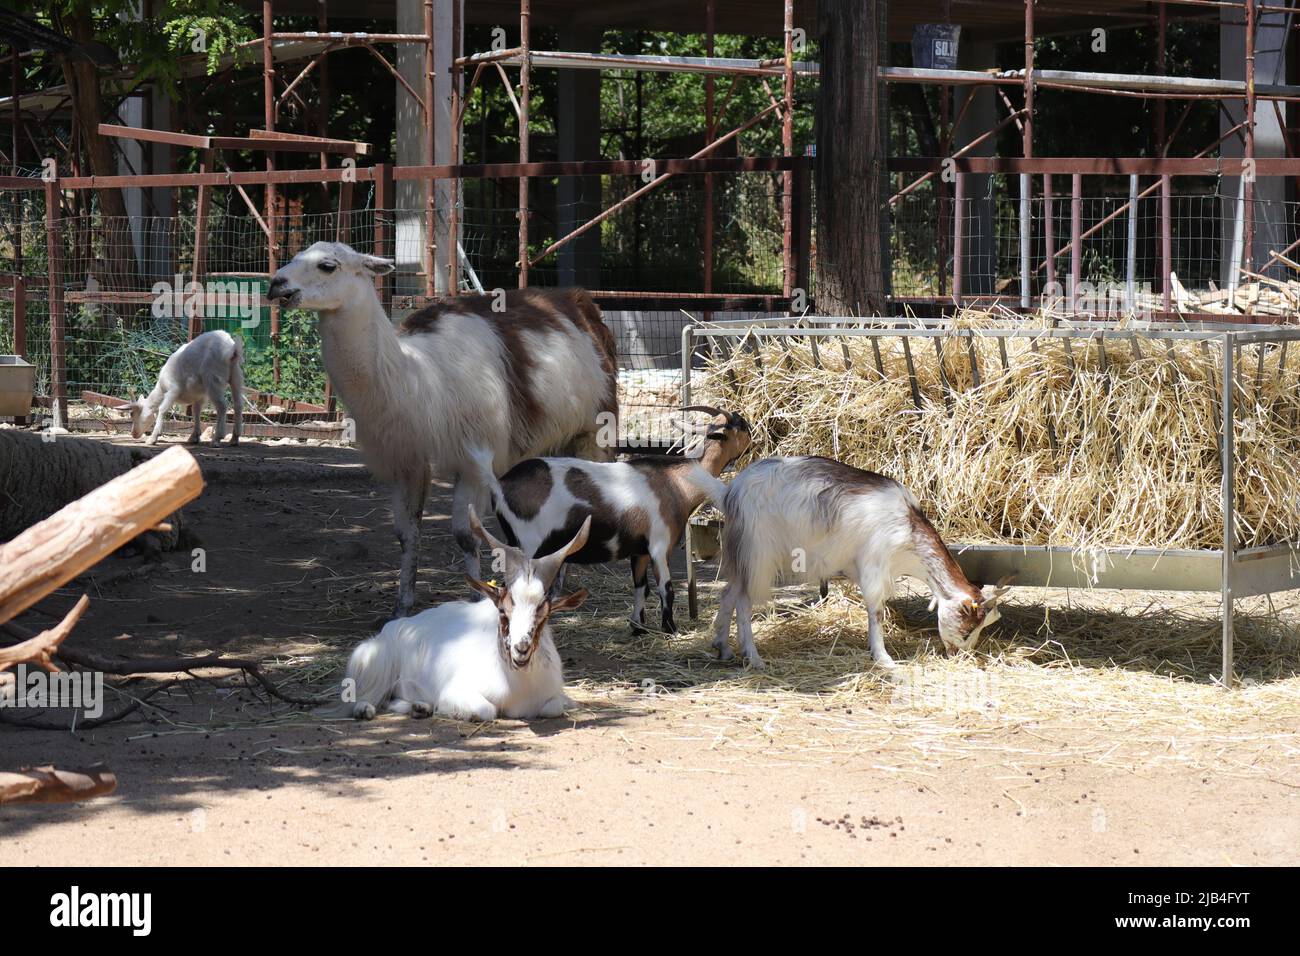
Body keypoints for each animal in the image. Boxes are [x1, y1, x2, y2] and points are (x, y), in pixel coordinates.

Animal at [267, 241, 618, 617]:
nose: (276, 284)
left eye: (327, 265)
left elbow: (465, 535)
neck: (421, 380)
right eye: (294, 256)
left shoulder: (475, 456)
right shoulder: (406, 460)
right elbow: (406, 534)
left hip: (591, 427)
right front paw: (402, 606)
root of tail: (578, 299)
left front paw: (478, 601)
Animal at [334, 506, 591, 721]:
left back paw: (420, 707)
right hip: (371, 658)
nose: (521, 648)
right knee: (369, 695)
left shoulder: (554, 696)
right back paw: (364, 709)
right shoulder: (454, 691)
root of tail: (398, 625)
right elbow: (486, 710)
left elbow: (553, 708)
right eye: (502, 610)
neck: (517, 685)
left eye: (544, 612)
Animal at [492, 407, 750, 633]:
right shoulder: (659, 545)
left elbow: (641, 588)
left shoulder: (640, 551)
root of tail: (501, 484)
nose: (749, 427)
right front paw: (670, 629)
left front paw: (638, 627)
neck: (677, 482)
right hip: (530, 545)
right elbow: (666, 588)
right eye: (738, 424)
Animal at [713, 456, 1009, 669]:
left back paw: (723, 648)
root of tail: (732, 491)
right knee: (743, 599)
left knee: (728, 593)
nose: (959, 654)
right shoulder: (874, 566)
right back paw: (753, 657)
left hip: (742, 556)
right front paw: (883, 658)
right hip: (757, 553)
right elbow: (876, 610)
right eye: (968, 627)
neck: (907, 527)